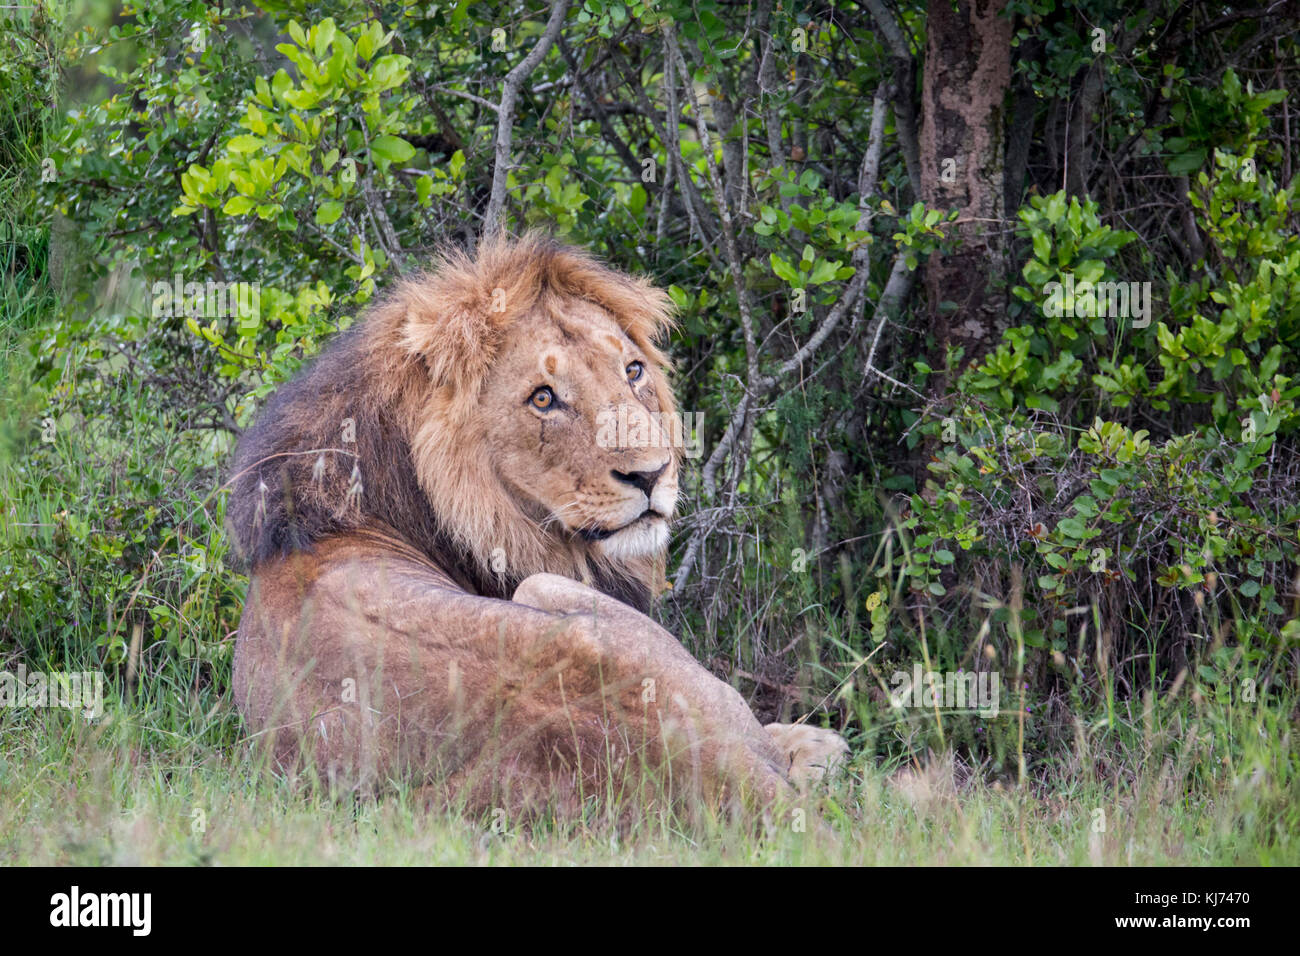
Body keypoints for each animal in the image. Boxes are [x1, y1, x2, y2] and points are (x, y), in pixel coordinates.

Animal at [226, 234, 847, 819]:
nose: (652, 474)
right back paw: (821, 746)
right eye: (544, 399)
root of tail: (697, 761)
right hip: (545, 591)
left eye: (633, 371)